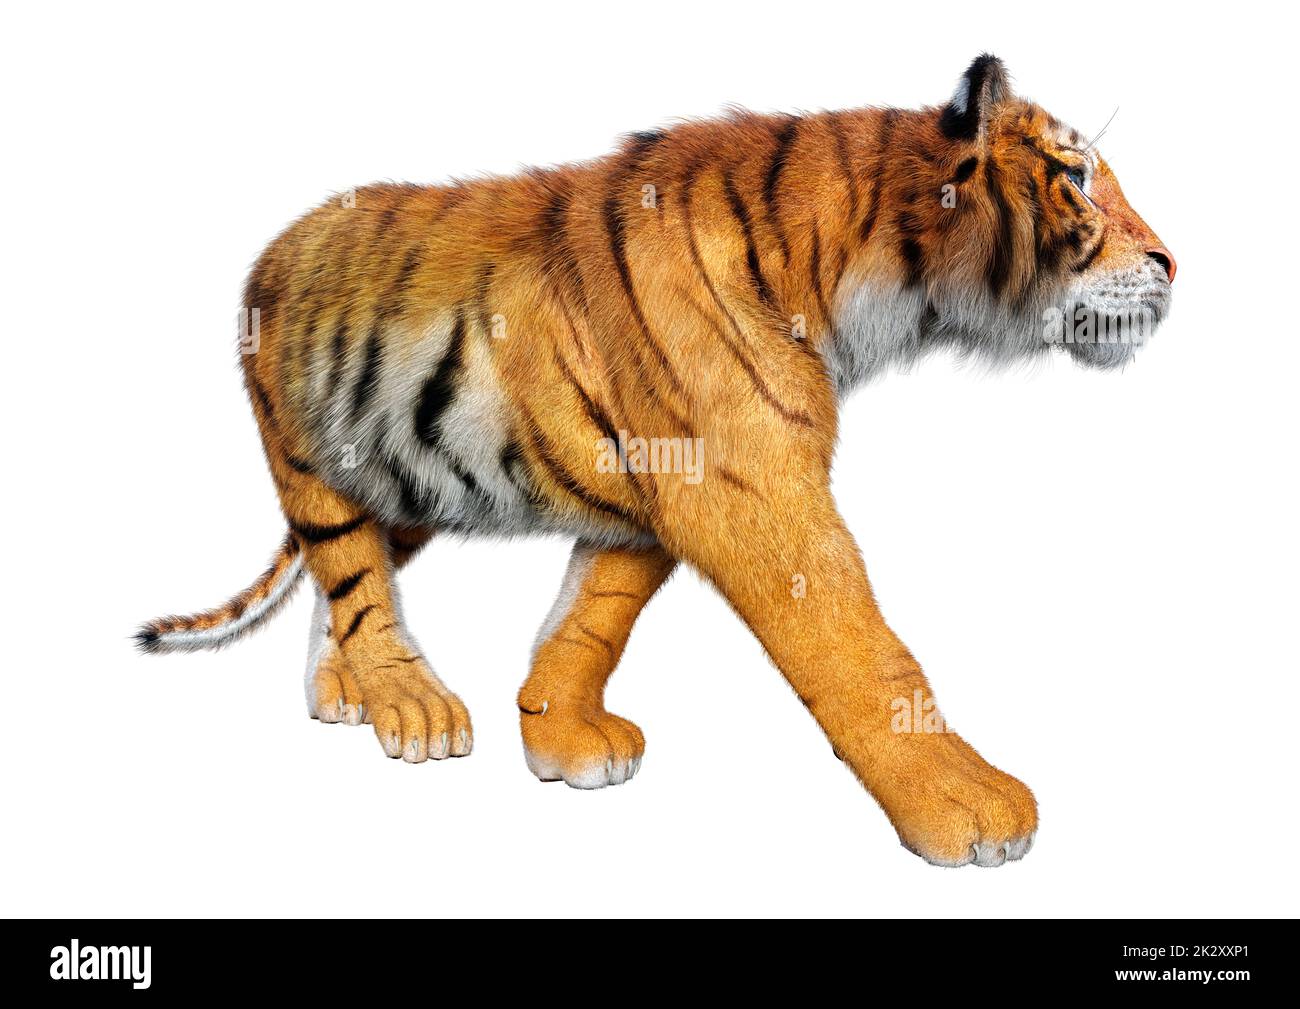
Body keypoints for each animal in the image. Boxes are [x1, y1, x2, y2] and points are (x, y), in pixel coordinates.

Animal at [137, 55, 1174, 868]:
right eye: (1077, 177)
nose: (1172, 263)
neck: (870, 281)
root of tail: (275, 245)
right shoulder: (752, 486)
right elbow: (864, 653)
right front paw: (970, 807)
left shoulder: (665, 484)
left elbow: (593, 616)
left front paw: (558, 732)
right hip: (312, 458)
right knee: (350, 572)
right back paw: (408, 700)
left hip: (405, 477)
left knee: (347, 579)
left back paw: (342, 692)